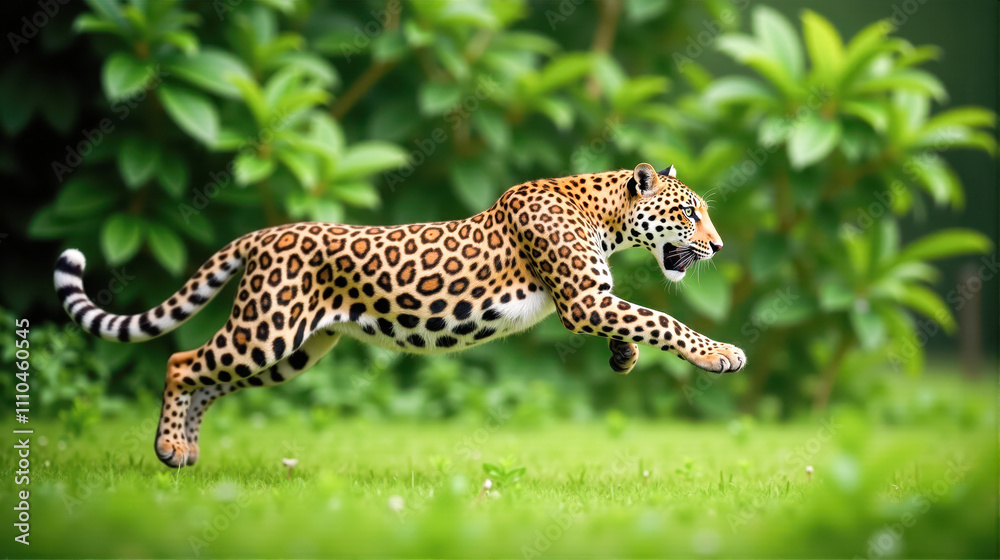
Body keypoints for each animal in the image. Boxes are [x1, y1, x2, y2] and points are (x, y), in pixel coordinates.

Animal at [54, 162, 745, 468]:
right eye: (691, 213)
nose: (717, 246)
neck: (604, 213)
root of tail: (264, 234)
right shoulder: (584, 301)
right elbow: (660, 318)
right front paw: (721, 354)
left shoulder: (593, 301)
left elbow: (639, 322)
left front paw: (623, 357)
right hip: (266, 330)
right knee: (181, 360)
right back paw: (170, 443)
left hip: (295, 350)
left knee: (206, 377)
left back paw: (182, 450)